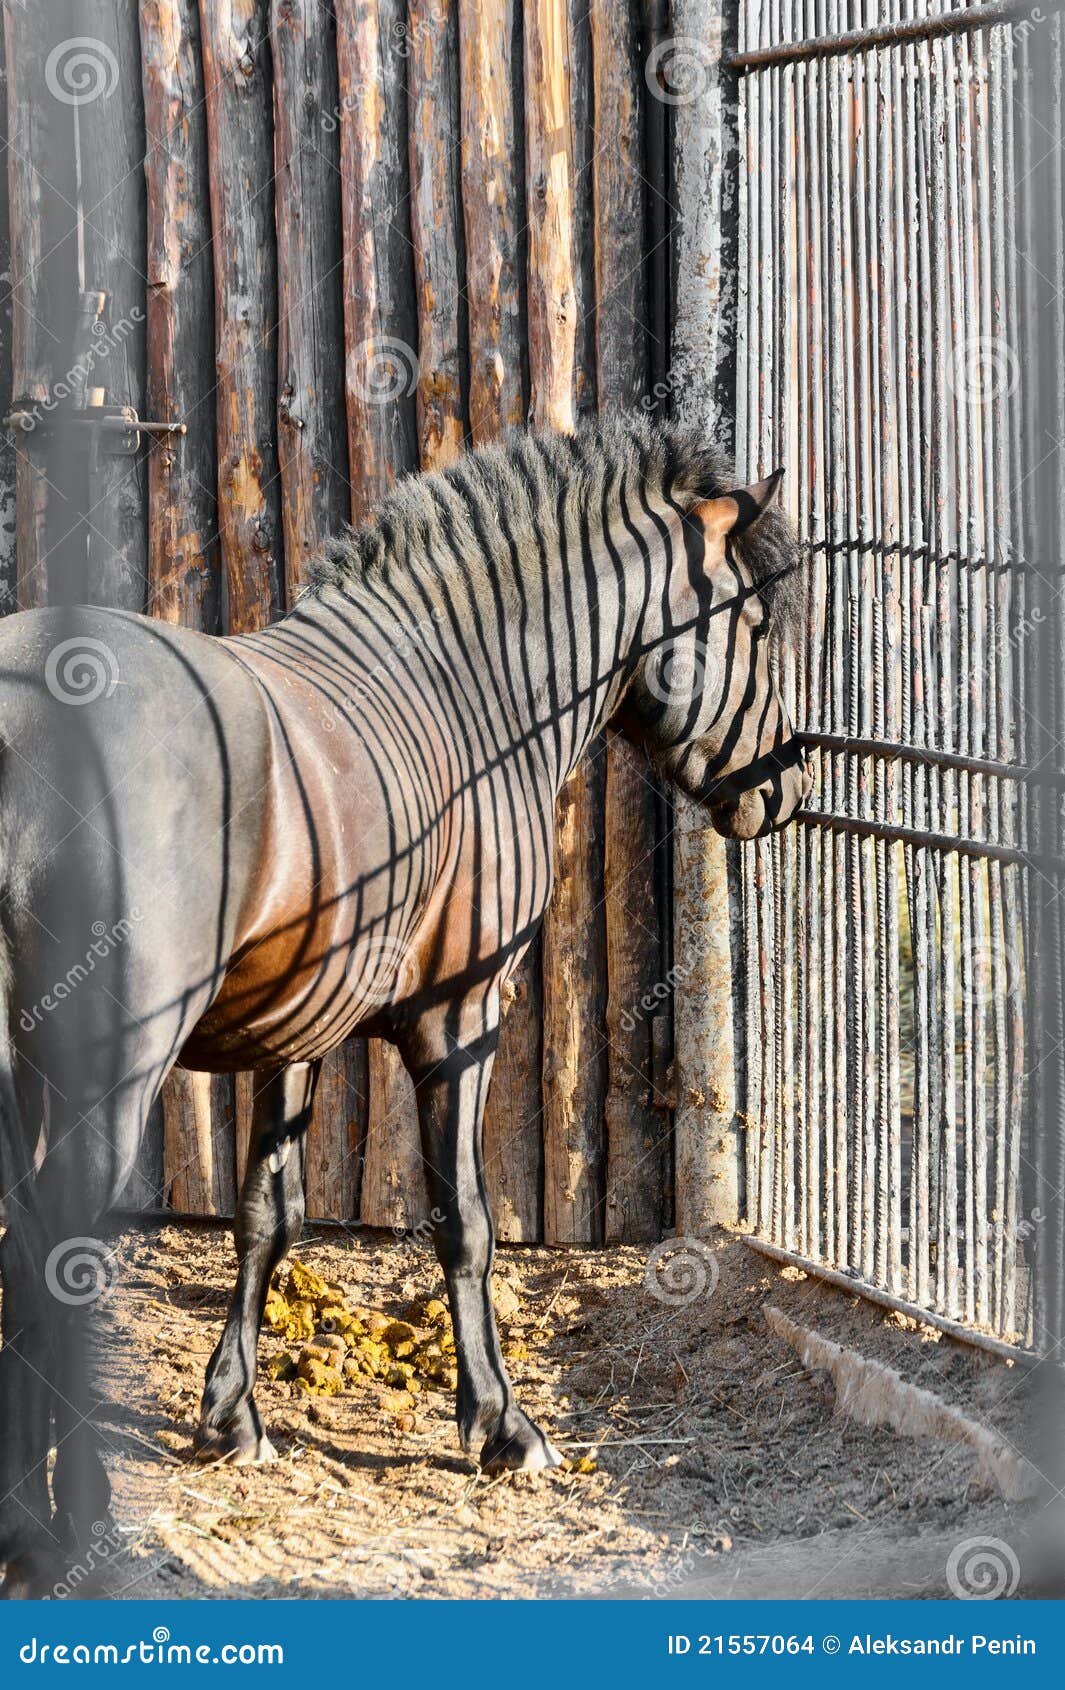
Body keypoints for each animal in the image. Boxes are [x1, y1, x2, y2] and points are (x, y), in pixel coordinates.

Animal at [0, 415, 810, 1593]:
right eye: (749, 620)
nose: (784, 787)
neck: (469, 697)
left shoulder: (293, 1029)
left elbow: (268, 1214)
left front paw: (231, 1418)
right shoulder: (458, 1020)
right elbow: (463, 1221)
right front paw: (503, 1428)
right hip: (105, 1070)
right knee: (50, 1263)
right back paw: (74, 1524)